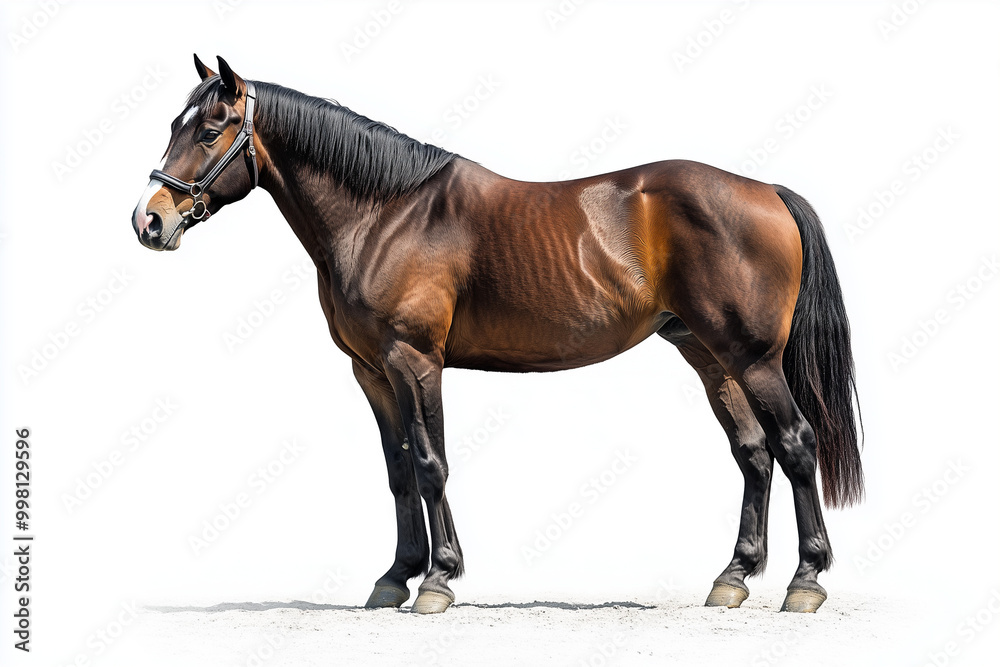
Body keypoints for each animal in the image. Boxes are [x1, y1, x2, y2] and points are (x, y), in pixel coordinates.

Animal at [132, 55, 862, 614]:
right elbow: (398, 469)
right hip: (710, 357)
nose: (149, 220)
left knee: (795, 444)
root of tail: (767, 190)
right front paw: (393, 577)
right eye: (175, 125)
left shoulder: (415, 360)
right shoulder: (371, 371)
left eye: (211, 129)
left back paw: (805, 582)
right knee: (753, 453)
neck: (386, 213)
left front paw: (438, 579)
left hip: (755, 357)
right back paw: (732, 579)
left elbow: (431, 462)